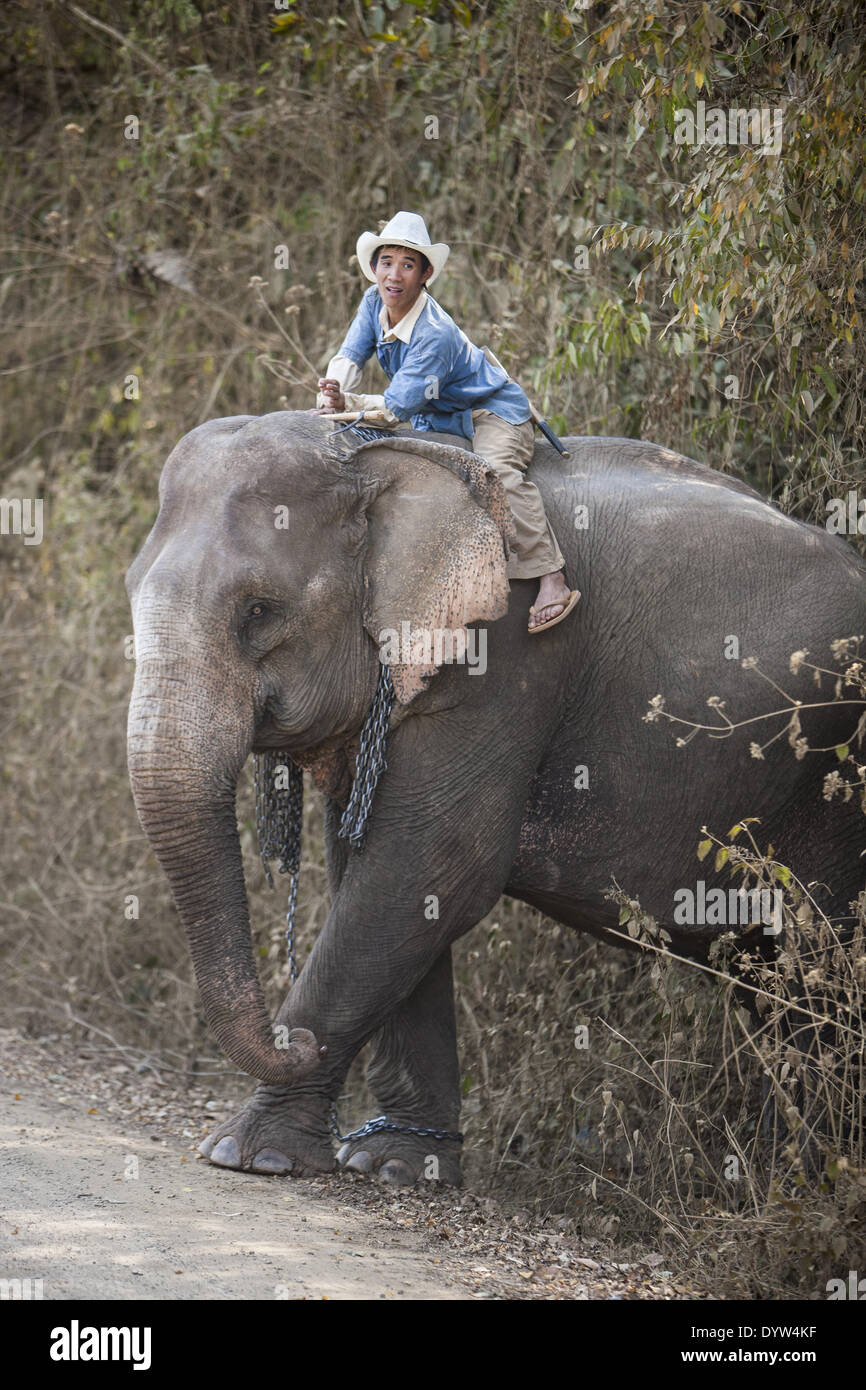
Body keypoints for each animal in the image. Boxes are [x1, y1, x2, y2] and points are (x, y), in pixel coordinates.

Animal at [126, 410, 866, 1186]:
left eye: (260, 610)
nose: (288, 1036)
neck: (375, 461)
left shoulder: (506, 655)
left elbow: (430, 867)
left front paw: (249, 1155)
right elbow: (379, 872)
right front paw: (396, 1164)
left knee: (814, 972)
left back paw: (796, 1182)